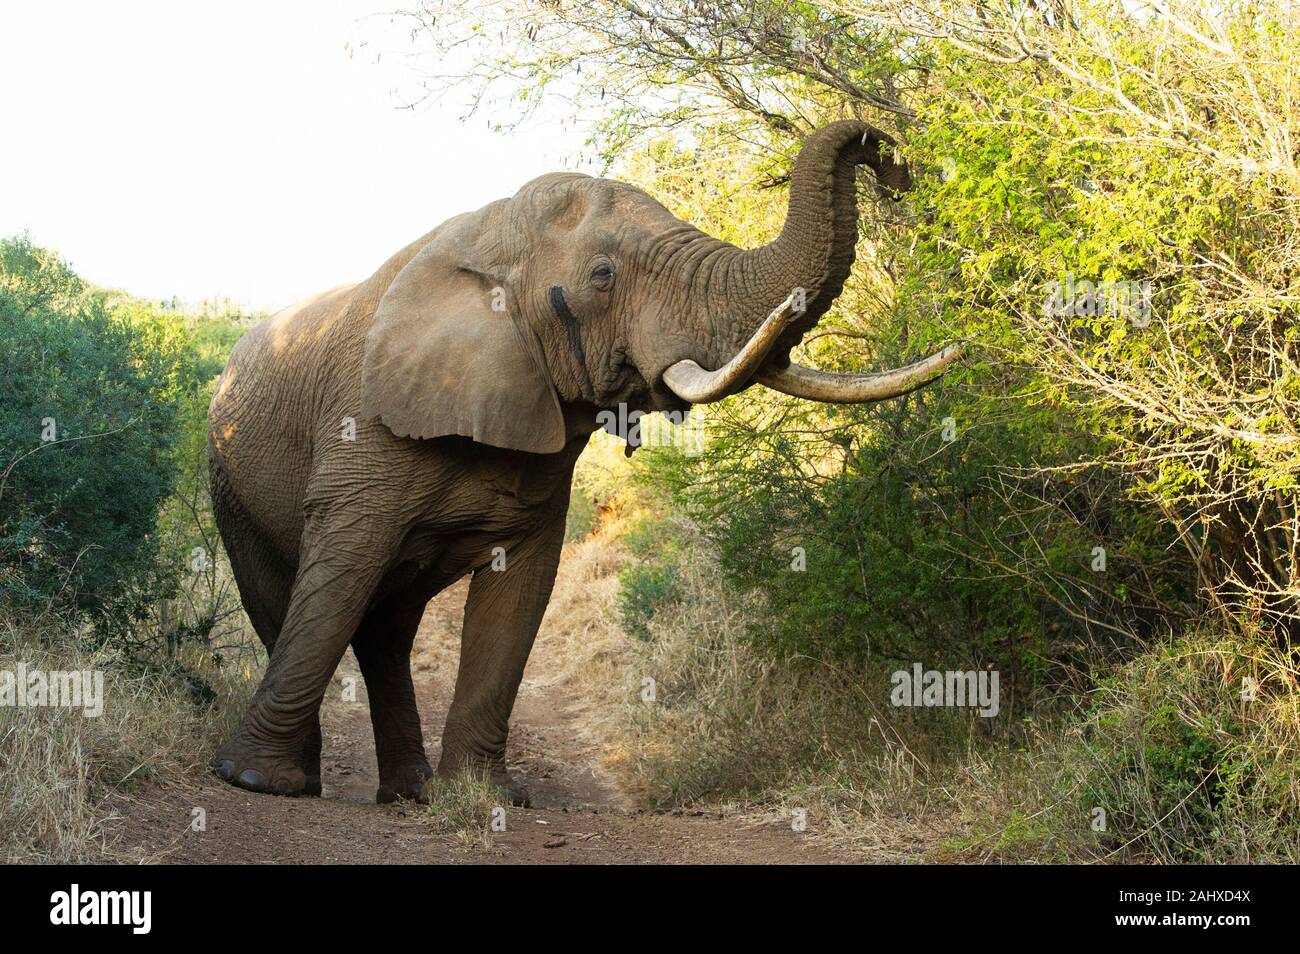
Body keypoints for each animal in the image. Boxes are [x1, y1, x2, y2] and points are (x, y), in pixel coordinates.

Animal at [206, 119, 961, 805]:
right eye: (603, 276)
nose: (891, 158)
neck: (489, 233)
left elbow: (521, 590)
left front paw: (487, 798)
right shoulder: (362, 429)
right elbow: (338, 575)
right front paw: (254, 783)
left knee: (388, 630)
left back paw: (411, 793)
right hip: (229, 487)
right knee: (288, 602)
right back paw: (297, 783)